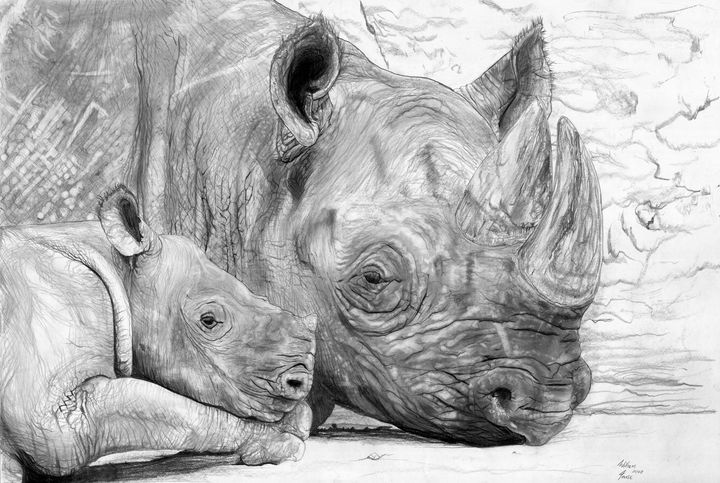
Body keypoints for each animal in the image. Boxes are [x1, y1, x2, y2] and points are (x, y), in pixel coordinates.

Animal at [0, 186, 315, 477]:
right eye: (209, 320)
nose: (300, 380)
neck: (120, 266)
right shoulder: (55, 416)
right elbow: (187, 413)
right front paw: (282, 439)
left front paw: (294, 421)